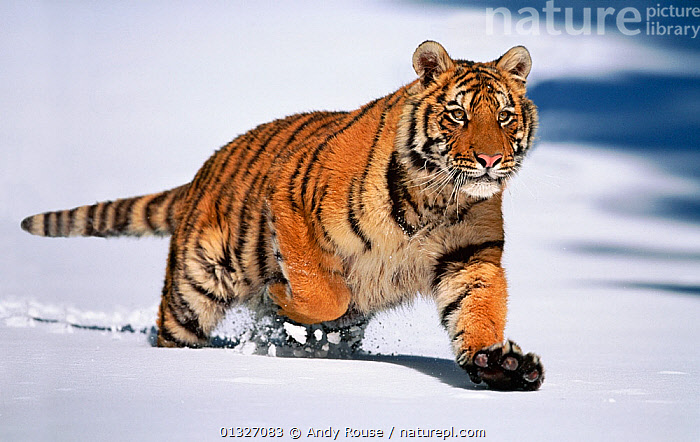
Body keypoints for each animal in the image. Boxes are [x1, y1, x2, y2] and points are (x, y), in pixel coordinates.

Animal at [21, 41, 544, 391]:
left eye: (503, 116)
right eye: (457, 115)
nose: (490, 160)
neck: (437, 197)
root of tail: (199, 175)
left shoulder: (471, 257)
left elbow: (478, 310)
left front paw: (499, 363)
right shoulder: (293, 207)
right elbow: (324, 291)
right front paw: (279, 300)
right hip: (193, 286)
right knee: (174, 329)